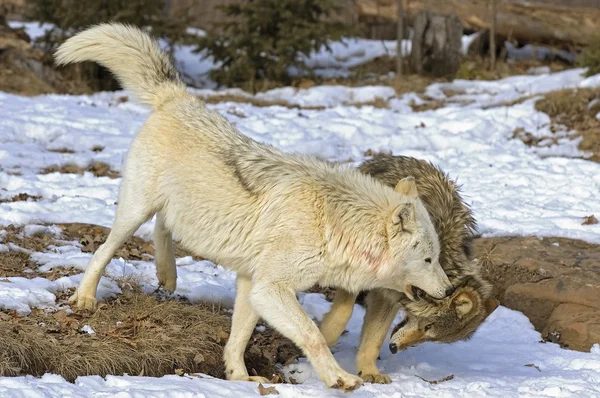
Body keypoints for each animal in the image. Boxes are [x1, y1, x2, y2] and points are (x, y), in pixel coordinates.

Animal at [55, 23, 454, 390]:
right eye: (428, 259)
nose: (449, 291)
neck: (332, 223)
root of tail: (178, 97)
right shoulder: (270, 288)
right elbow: (312, 335)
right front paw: (339, 378)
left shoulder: (251, 282)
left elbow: (239, 337)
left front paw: (239, 376)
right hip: (135, 210)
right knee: (105, 249)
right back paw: (85, 298)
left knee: (163, 227)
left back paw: (167, 275)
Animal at [322, 155, 500, 382]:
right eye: (426, 325)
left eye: (430, 335)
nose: (394, 348)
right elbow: (343, 312)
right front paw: (323, 338)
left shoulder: (389, 297)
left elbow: (374, 338)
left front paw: (369, 371)